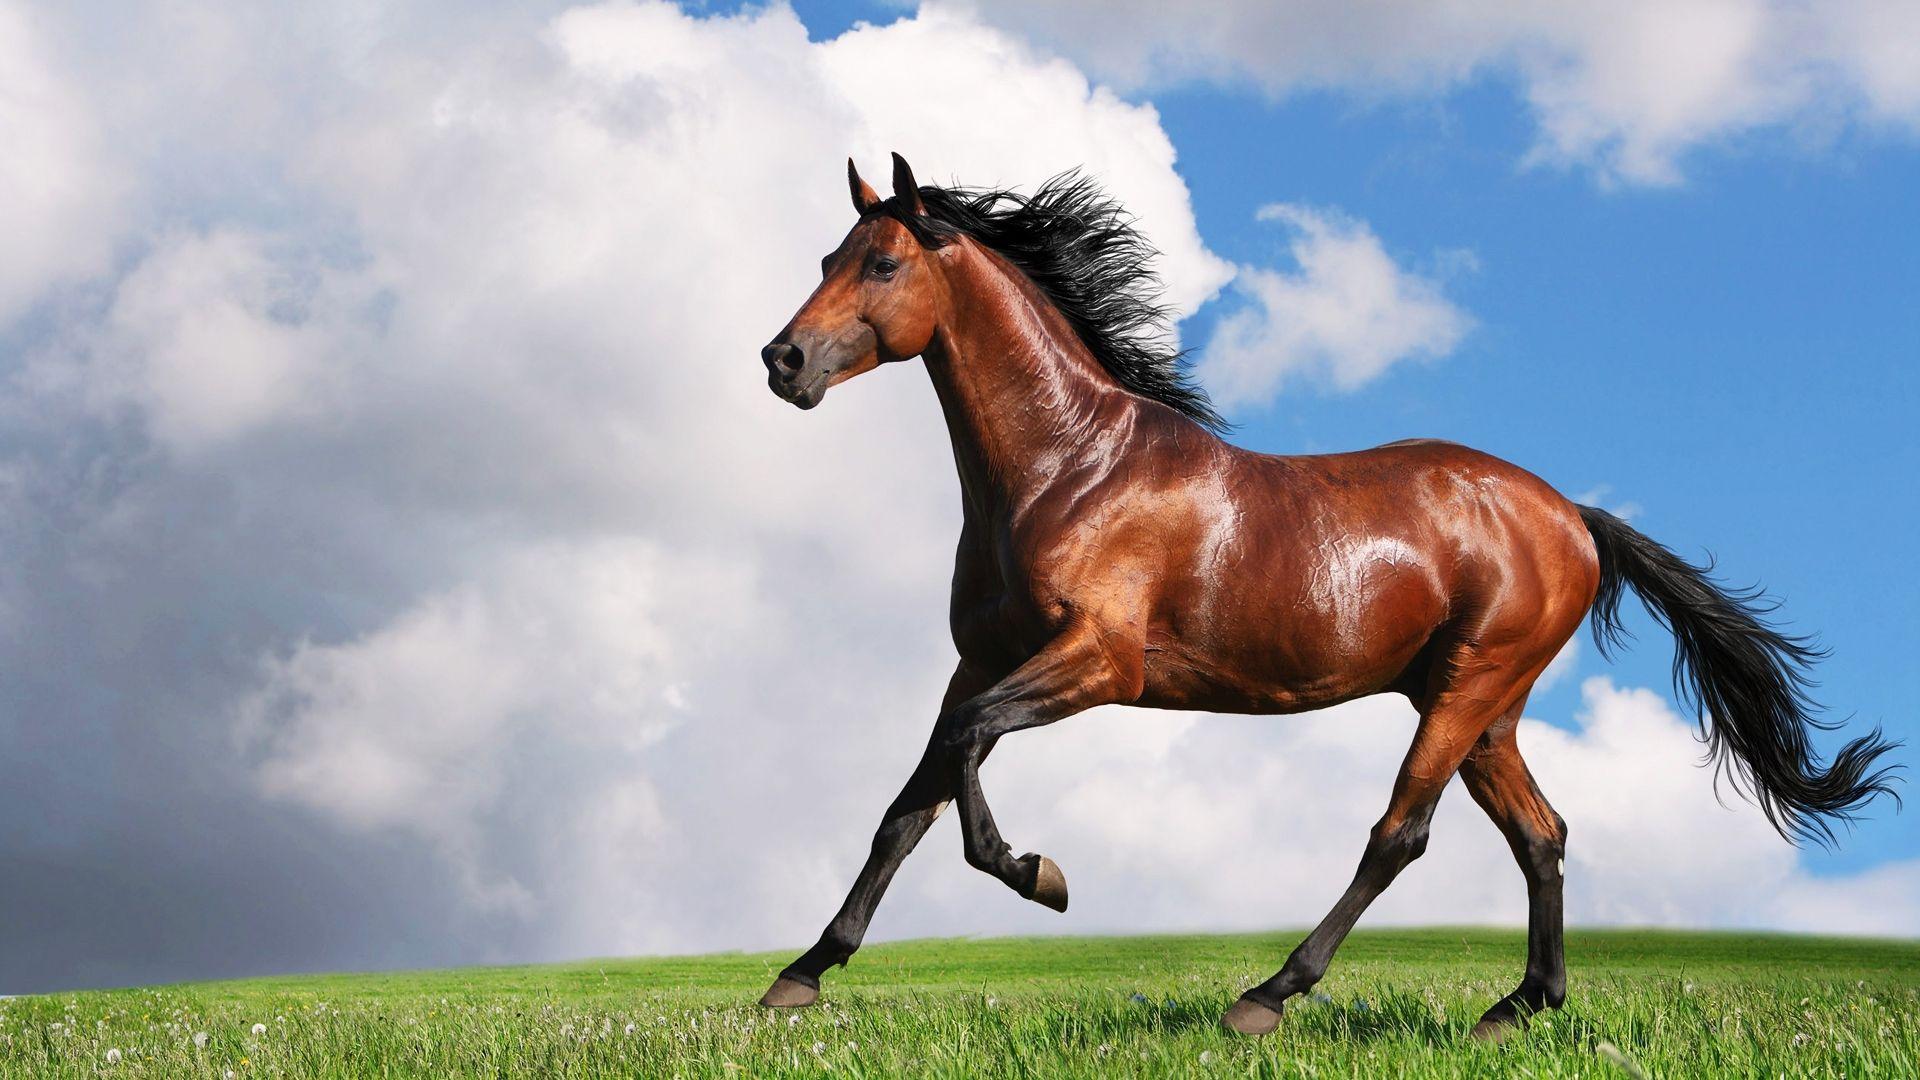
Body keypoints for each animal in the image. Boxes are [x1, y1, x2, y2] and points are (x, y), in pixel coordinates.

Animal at [753, 153, 1899, 1038]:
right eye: (827, 260)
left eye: (884, 262)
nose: (782, 359)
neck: (1066, 468)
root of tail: (1572, 515)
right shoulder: (979, 660)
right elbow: (910, 803)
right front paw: (799, 976)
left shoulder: (1097, 663)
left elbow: (965, 760)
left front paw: (1041, 873)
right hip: (1486, 706)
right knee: (1541, 834)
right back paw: (1516, 1009)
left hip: (1469, 688)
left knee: (1402, 831)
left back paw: (1267, 996)